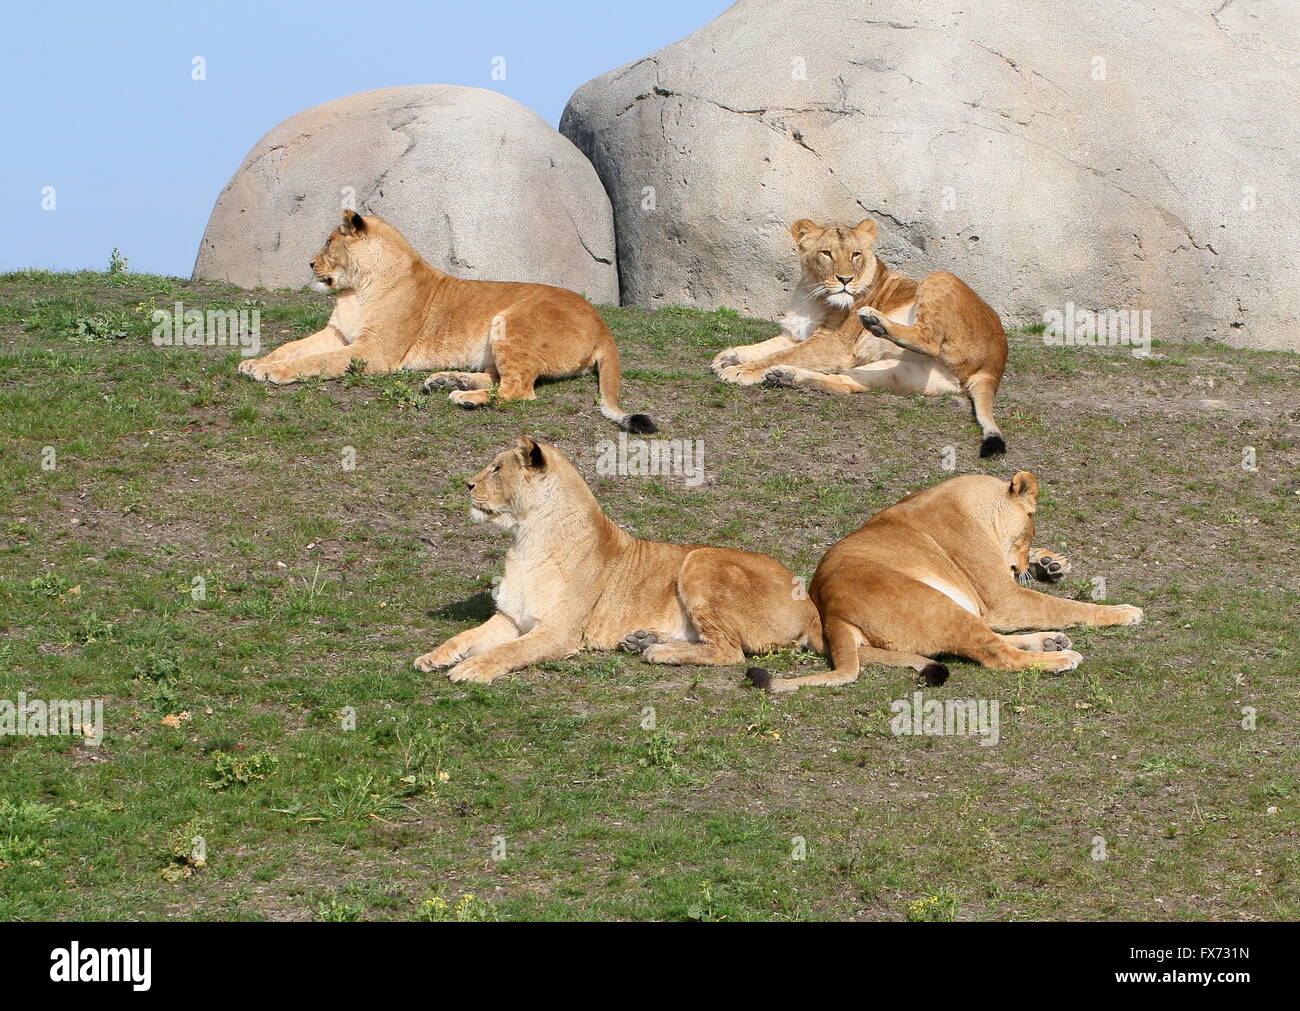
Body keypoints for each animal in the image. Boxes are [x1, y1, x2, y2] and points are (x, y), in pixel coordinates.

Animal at [238, 210, 656, 433]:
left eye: (328, 241)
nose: (310, 263)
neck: (356, 290)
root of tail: (602, 324)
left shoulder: (374, 352)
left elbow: (316, 361)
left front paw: (272, 372)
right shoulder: (339, 334)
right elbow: (293, 346)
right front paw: (254, 362)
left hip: (511, 319)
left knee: (520, 390)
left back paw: (464, 397)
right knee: (500, 377)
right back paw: (446, 381)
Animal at [413, 437, 822, 683]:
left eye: (497, 468)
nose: (467, 484)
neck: (525, 539)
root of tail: (811, 606)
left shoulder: (558, 631)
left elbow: (510, 650)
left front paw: (472, 668)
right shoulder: (510, 619)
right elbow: (465, 636)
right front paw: (431, 658)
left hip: (701, 560)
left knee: (729, 651)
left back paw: (657, 651)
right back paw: (642, 639)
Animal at [712, 218, 1009, 457]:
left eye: (855, 254)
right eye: (826, 253)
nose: (845, 280)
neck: (812, 294)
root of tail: (994, 367)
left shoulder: (832, 343)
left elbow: (777, 353)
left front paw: (740, 371)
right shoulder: (796, 335)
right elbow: (766, 347)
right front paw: (726, 357)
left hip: (940, 276)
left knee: (931, 340)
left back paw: (875, 321)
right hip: (896, 371)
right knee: (844, 383)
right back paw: (786, 377)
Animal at [749, 471, 1143, 693]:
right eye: (1032, 522)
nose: (1021, 567)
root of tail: (831, 614)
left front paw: (1050, 562)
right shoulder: (1004, 597)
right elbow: (1068, 606)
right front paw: (1124, 611)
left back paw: (1050, 642)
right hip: (939, 606)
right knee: (996, 654)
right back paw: (1059, 658)